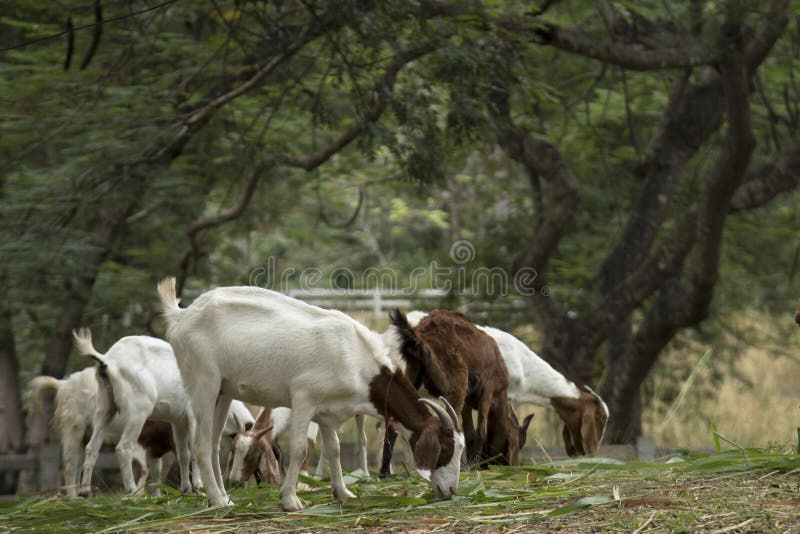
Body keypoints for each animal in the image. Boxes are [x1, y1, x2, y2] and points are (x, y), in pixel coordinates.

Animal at [73, 328, 196, 497]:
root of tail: (108, 359)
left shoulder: (178, 420)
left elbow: (184, 453)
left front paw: (186, 489)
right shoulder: (194, 414)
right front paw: (199, 486)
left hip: (105, 408)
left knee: (92, 447)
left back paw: (85, 492)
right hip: (139, 411)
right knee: (123, 447)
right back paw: (132, 491)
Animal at [157, 277, 464, 511]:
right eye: (446, 447)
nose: (450, 490)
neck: (356, 359)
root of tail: (182, 316)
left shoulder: (328, 411)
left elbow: (335, 449)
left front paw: (343, 493)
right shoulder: (304, 397)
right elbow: (299, 448)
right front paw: (290, 499)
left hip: (224, 390)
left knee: (212, 443)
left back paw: (220, 497)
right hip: (204, 380)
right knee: (199, 444)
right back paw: (219, 501)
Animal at [389, 309, 526, 467]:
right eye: (516, 444)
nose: (513, 466)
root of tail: (419, 335)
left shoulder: (467, 398)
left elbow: (470, 433)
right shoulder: (488, 391)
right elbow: (479, 432)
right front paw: (475, 466)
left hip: (412, 373)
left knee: (392, 425)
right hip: (456, 388)